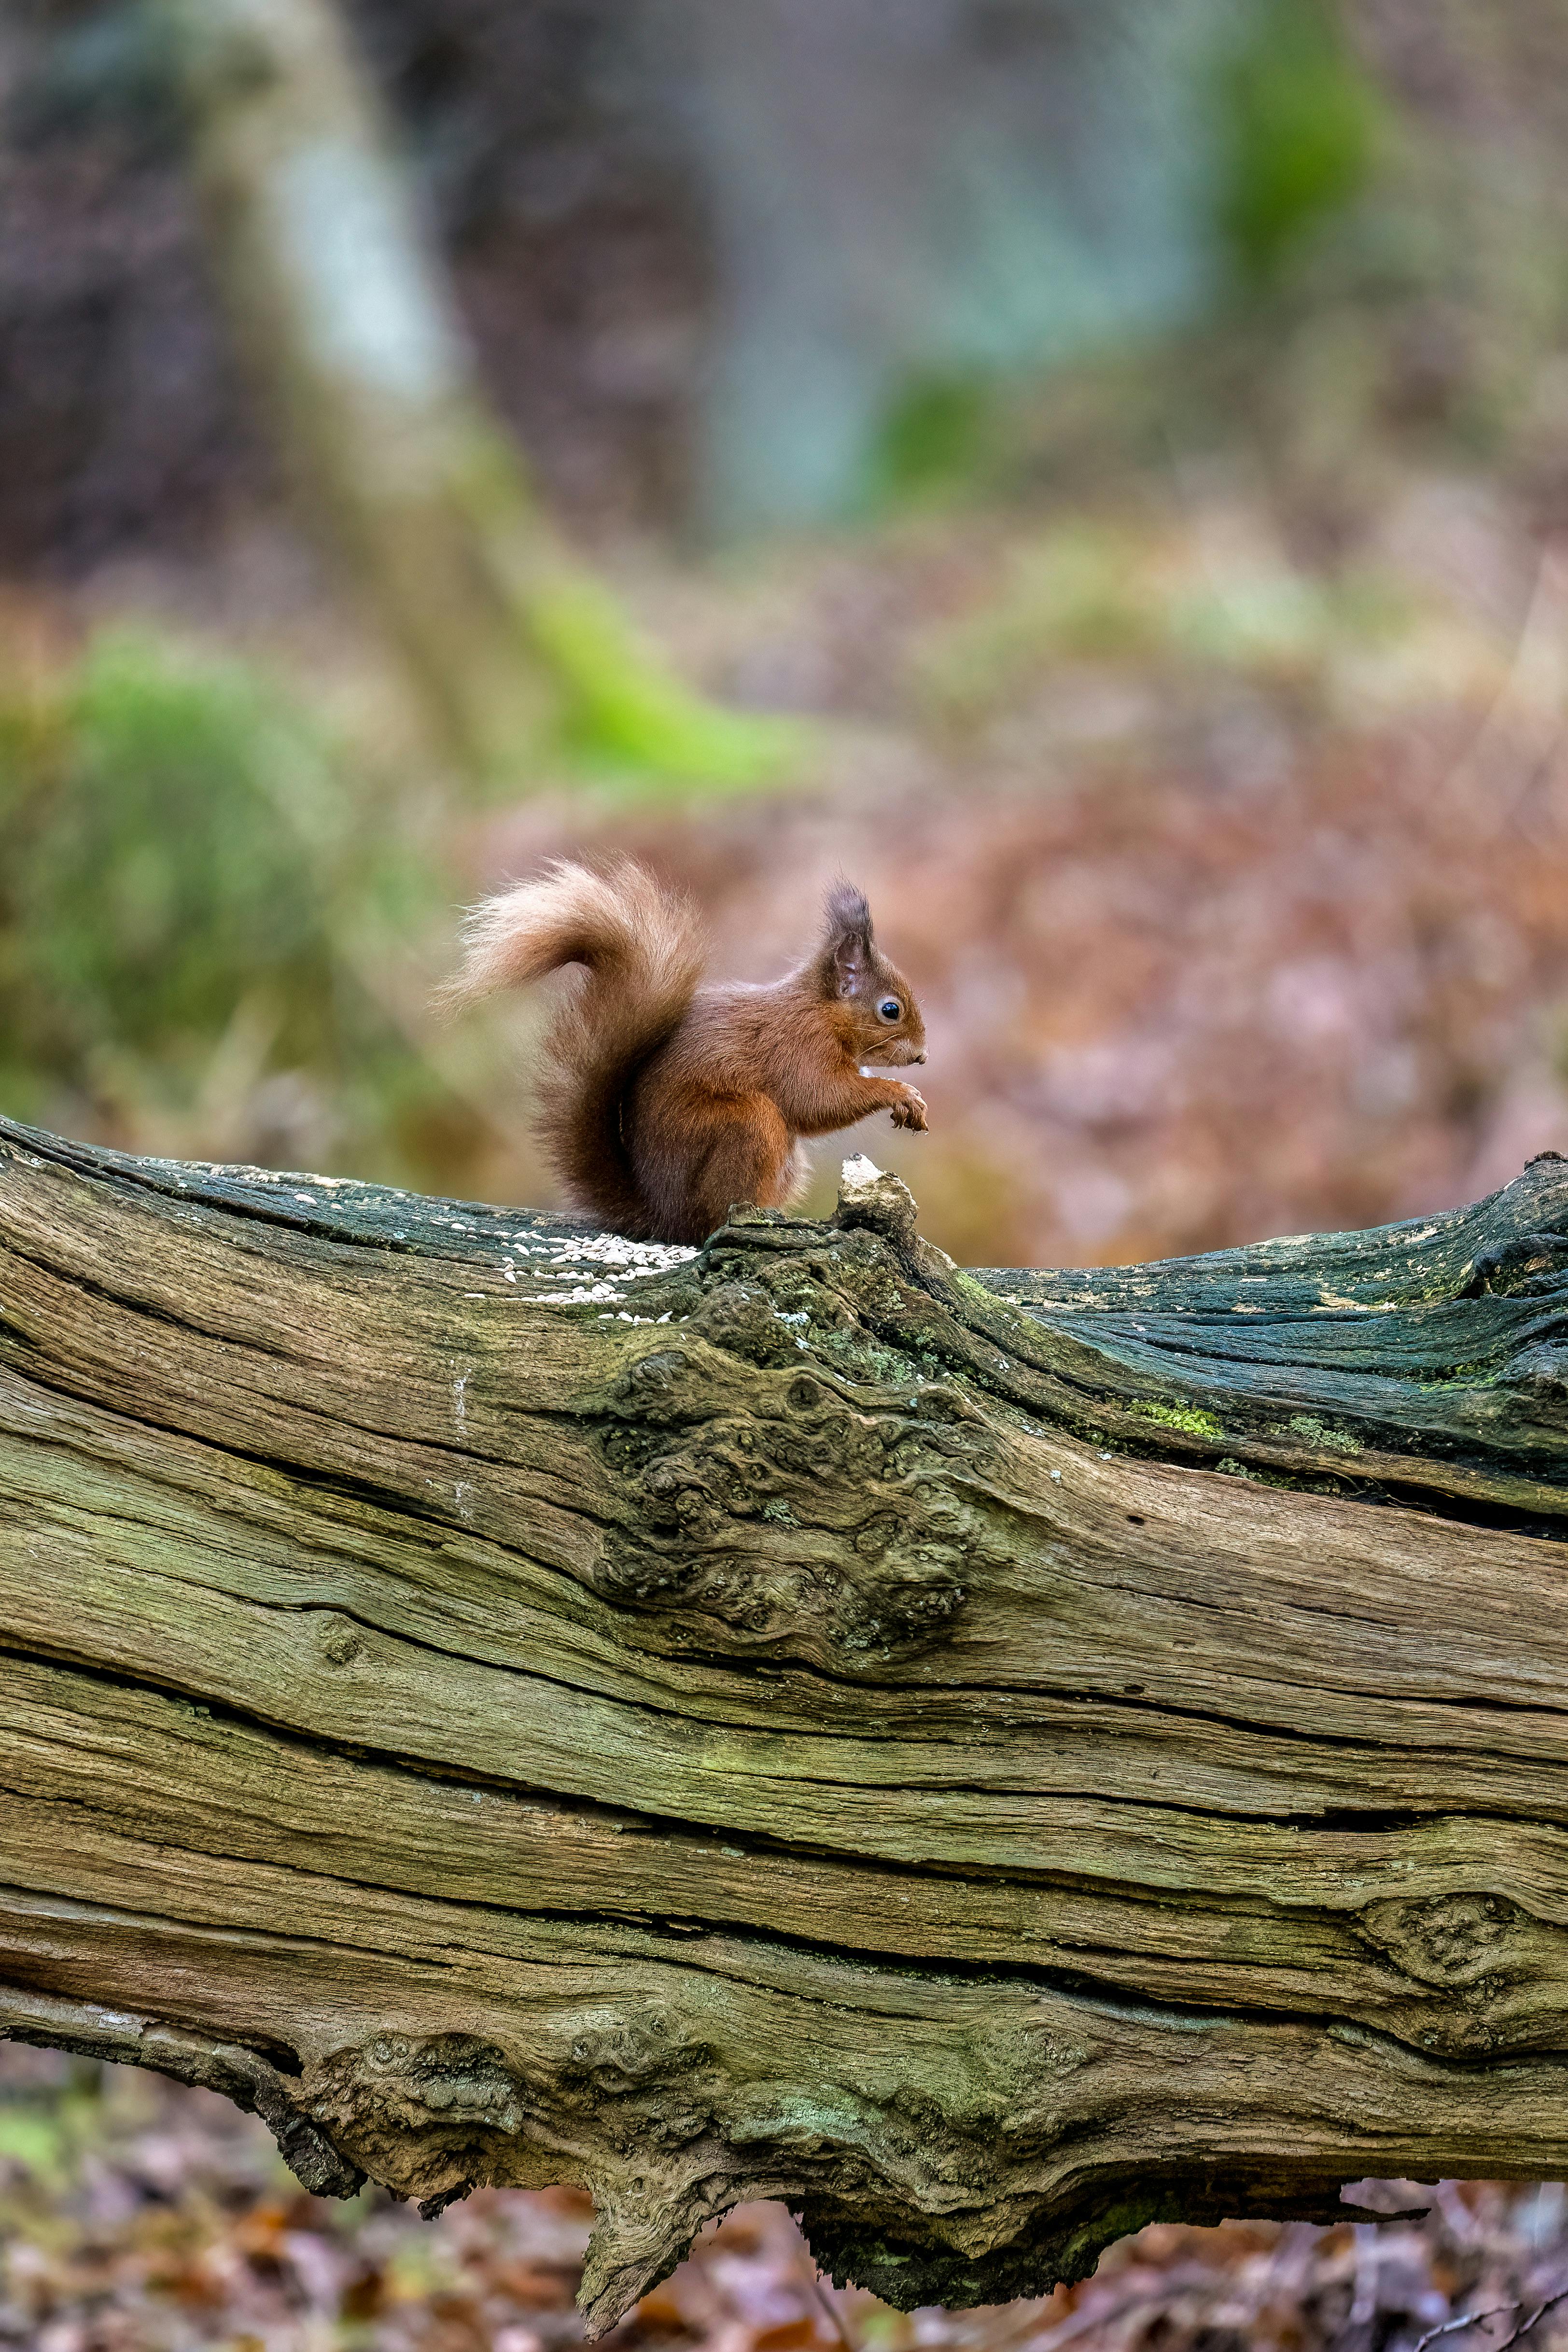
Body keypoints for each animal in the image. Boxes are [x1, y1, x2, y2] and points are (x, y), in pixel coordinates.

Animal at [442, 859, 928, 1245]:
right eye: (891, 1010)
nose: (922, 1057)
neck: (822, 1012)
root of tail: (663, 1217)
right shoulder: (797, 1046)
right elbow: (816, 1100)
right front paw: (899, 1092)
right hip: (744, 1125)